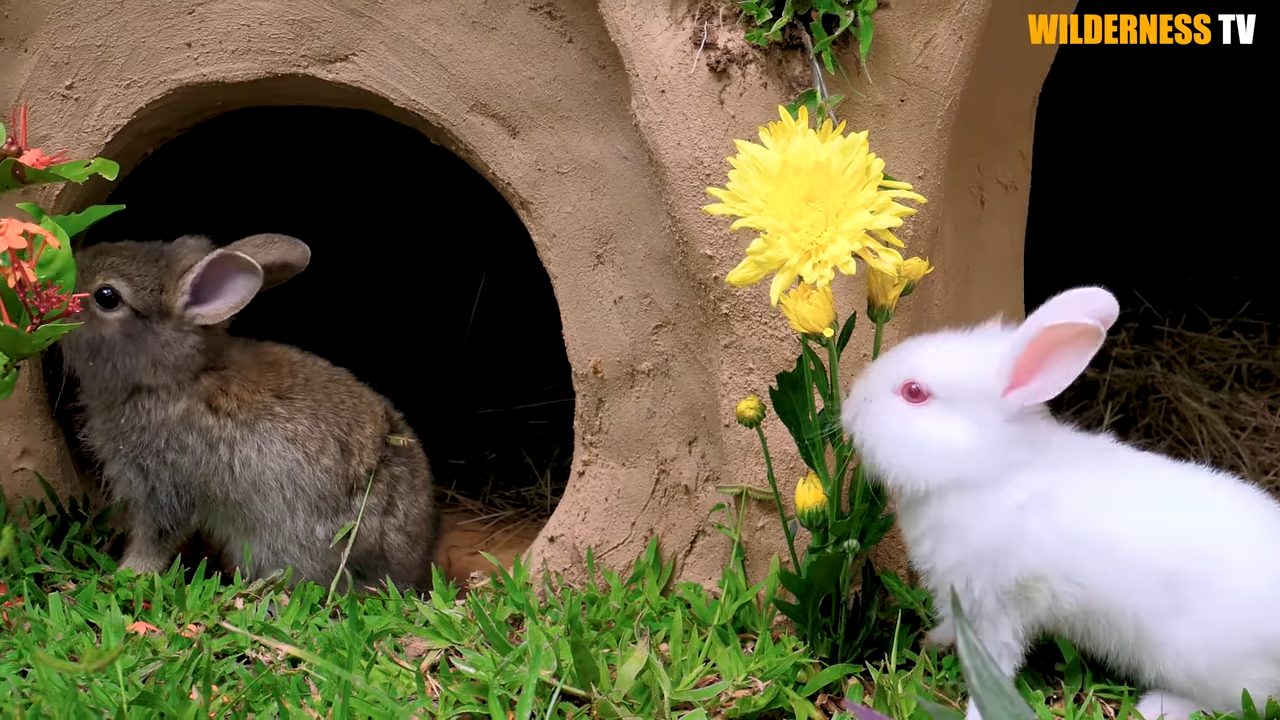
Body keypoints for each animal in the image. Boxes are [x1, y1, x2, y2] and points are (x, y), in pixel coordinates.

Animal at [58, 233, 440, 594]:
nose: (71, 265)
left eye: (107, 296)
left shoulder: (165, 483)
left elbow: (157, 537)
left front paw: (126, 574)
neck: (176, 378)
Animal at [840, 286, 1280, 720]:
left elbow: (994, 661)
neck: (987, 467)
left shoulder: (999, 605)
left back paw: (1159, 705)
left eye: (914, 392)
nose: (849, 410)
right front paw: (935, 641)